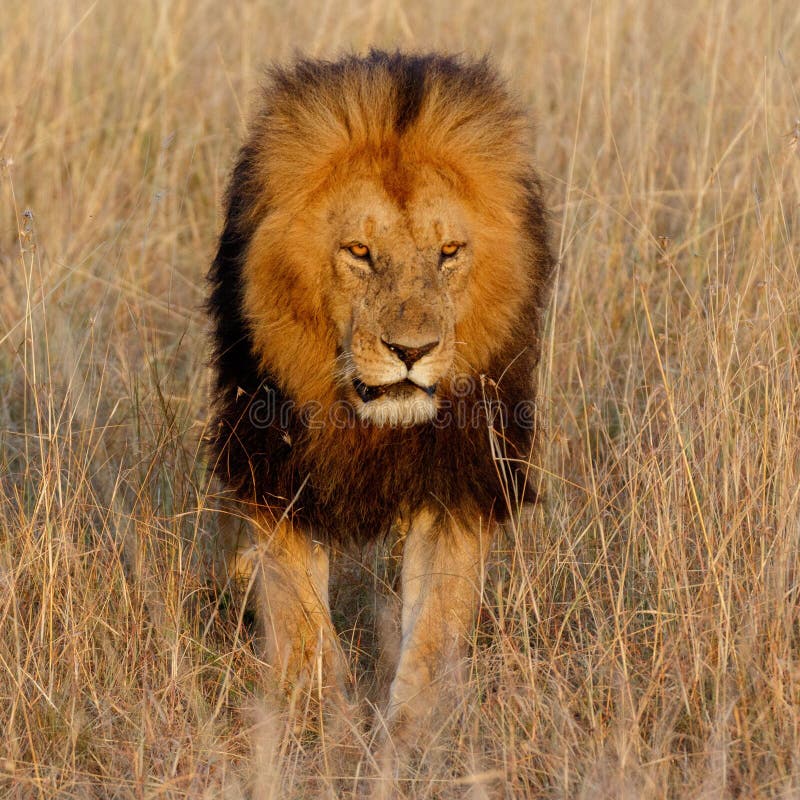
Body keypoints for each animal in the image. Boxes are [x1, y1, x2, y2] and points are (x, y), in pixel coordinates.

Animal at [206, 50, 554, 742]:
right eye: (360, 252)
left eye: (449, 252)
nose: (412, 352)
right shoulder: (275, 467)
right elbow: (302, 617)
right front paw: (324, 728)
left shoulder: (458, 475)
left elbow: (437, 621)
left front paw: (416, 737)